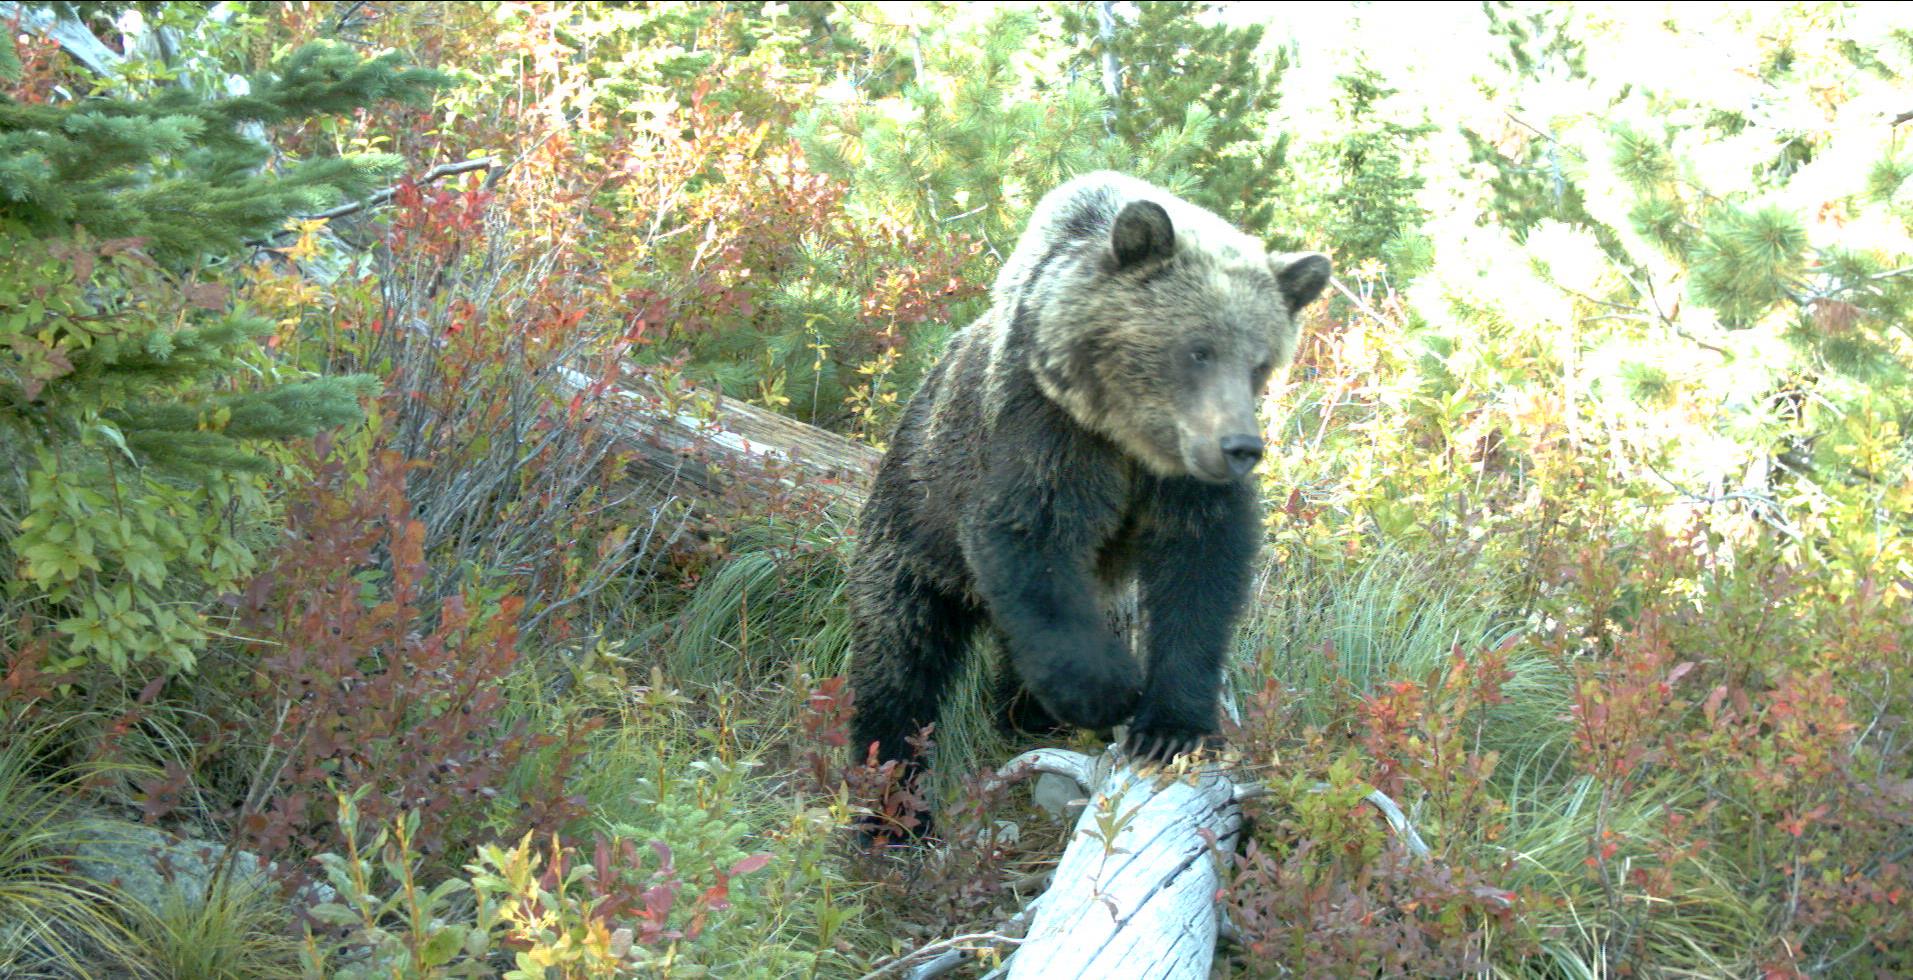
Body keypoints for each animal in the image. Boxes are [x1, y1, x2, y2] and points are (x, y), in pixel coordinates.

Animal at [845, 172, 1330, 829]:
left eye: (1260, 362)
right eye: (1198, 348)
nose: (1239, 447)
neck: (1128, 437)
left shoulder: (1180, 484)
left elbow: (1200, 574)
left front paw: (1171, 726)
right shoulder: (1045, 427)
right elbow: (1030, 535)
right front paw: (1109, 690)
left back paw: (1024, 713)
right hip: (914, 528)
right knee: (899, 661)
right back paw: (892, 809)